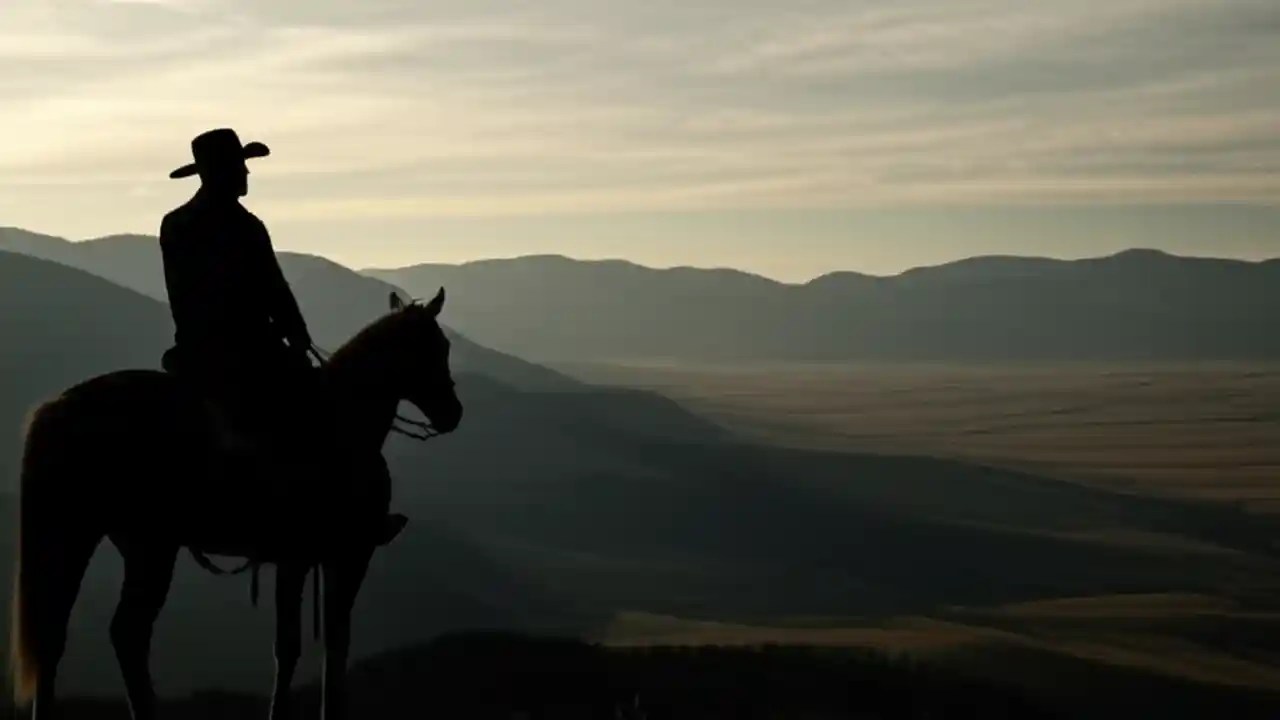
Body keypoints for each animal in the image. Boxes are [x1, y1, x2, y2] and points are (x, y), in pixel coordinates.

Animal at [8, 287, 462, 720]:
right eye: (437, 347)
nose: (453, 414)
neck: (343, 424)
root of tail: (58, 408)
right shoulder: (336, 555)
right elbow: (313, 645)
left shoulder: (313, 559)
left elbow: (310, 645)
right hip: (136, 545)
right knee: (118, 633)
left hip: (99, 539)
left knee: (71, 634)